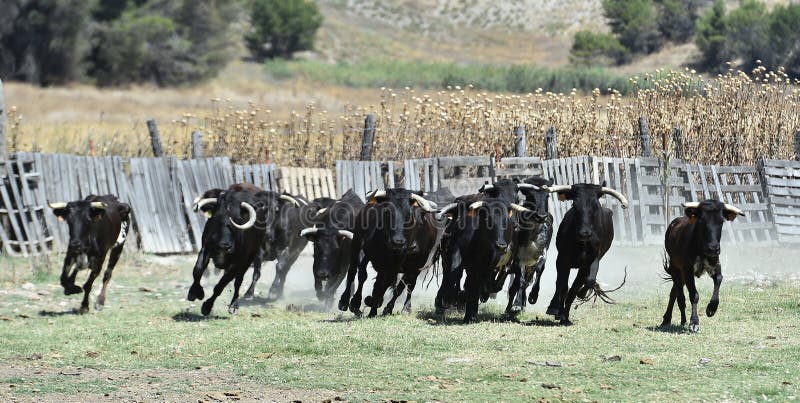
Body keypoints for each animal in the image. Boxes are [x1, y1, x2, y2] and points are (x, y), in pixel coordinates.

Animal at [186, 183, 300, 316]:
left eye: (237, 220)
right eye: (216, 219)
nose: (224, 246)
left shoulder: (240, 261)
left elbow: (222, 284)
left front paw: (207, 306)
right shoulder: (205, 249)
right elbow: (198, 270)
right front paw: (195, 292)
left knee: (238, 281)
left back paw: (234, 304)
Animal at [337, 188, 439, 317]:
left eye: (409, 215)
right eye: (387, 212)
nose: (398, 242)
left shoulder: (401, 263)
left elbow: (386, 285)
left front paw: (374, 307)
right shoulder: (365, 251)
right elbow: (363, 275)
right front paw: (356, 303)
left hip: (415, 265)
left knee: (405, 285)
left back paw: (398, 307)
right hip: (356, 242)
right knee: (353, 271)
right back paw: (345, 301)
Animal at [545, 183, 628, 325]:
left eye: (596, 206)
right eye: (574, 205)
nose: (584, 233)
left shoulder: (591, 261)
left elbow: (586, 282)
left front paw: (577, 300)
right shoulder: (562, 259)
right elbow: (561, 284)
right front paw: (554, 308)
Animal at [661, 200, 744, 333]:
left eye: (721, 221)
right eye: (701, 221)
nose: (713, 248)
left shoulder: (716, 266)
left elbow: (719, 280)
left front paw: (711, 308)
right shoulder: (688, 271)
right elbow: (694, 295)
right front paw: (694, 323)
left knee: (674, 292)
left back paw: (675, 319)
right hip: (676, 270)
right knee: (678, 296)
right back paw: (671, 319)